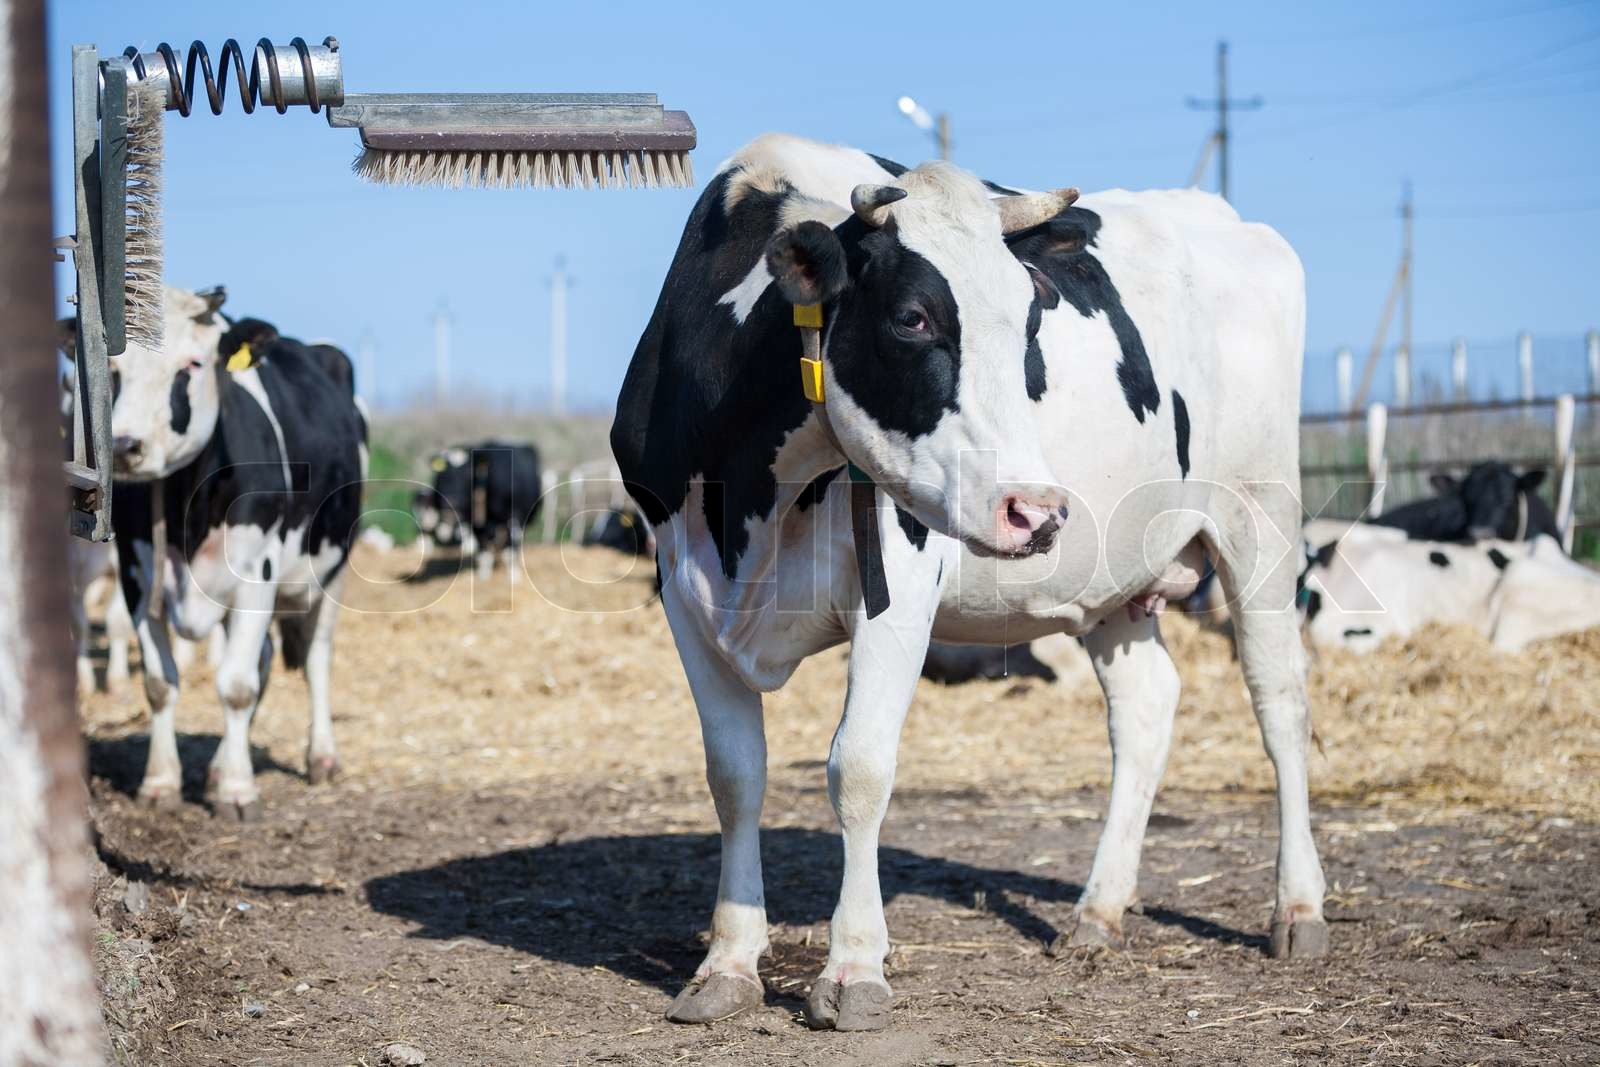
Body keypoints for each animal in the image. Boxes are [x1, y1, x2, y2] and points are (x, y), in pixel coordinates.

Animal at [76, 286, 367, 820]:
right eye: (113, 365)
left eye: (192, 364)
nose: (126, 446)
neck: (187, 499)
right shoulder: (137, 575)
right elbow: (161, 683)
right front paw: (162, 782)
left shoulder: (258, 574)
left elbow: (236, 686)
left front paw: (237, 790)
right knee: (265, 657)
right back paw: (217, 767)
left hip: (330, 570)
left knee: (316, 656)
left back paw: (321, 757)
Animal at [414, 441, 542, 578]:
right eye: (442, 474)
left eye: (468, 473)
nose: (451, 502)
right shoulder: (476, 525)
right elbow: (483, 549)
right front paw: (484, 575)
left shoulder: (514, 517)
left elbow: (510, 549)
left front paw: (514, 576)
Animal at [612, 134, 1324, 1031]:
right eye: (912, 317)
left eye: (1030, 320)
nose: (1039, 510)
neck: (752, 498)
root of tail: (1221, 214)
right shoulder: (684, 588)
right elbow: (735, 777)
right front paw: (728, 962)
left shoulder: (898, 582)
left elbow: (859, 767)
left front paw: (854, 968)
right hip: (1115, 579)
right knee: (1146, 706)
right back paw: (1098, 913)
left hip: (1260, 518)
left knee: (1280, 698)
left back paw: (1297, 907)